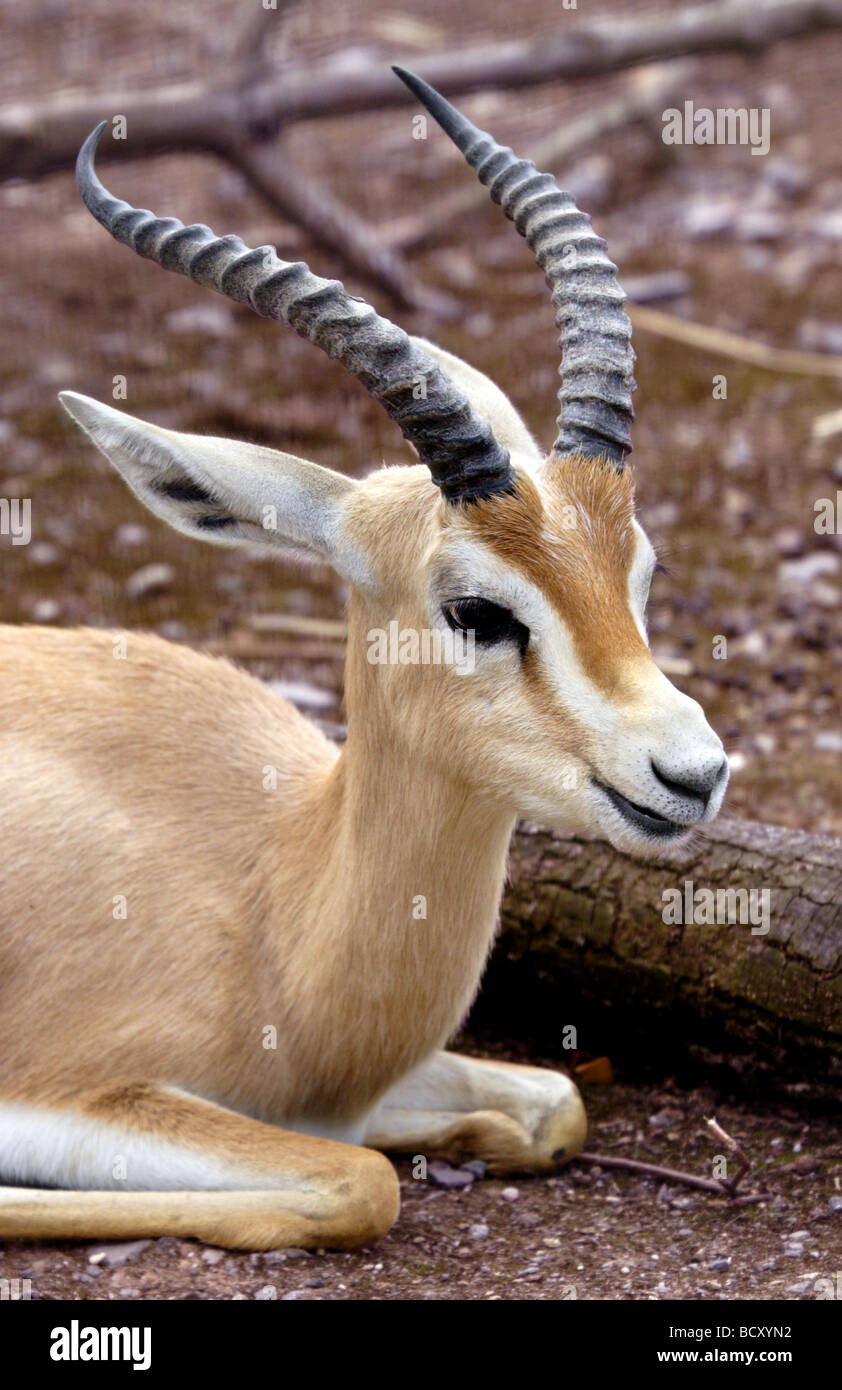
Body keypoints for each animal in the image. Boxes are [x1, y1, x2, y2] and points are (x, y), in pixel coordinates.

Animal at [0, 68, 728, 1251]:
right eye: (474, 608)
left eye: (641, 572)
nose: (691, 772)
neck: (276, 919)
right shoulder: (64, 1087)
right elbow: (354, 1180)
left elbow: (552, 1104)